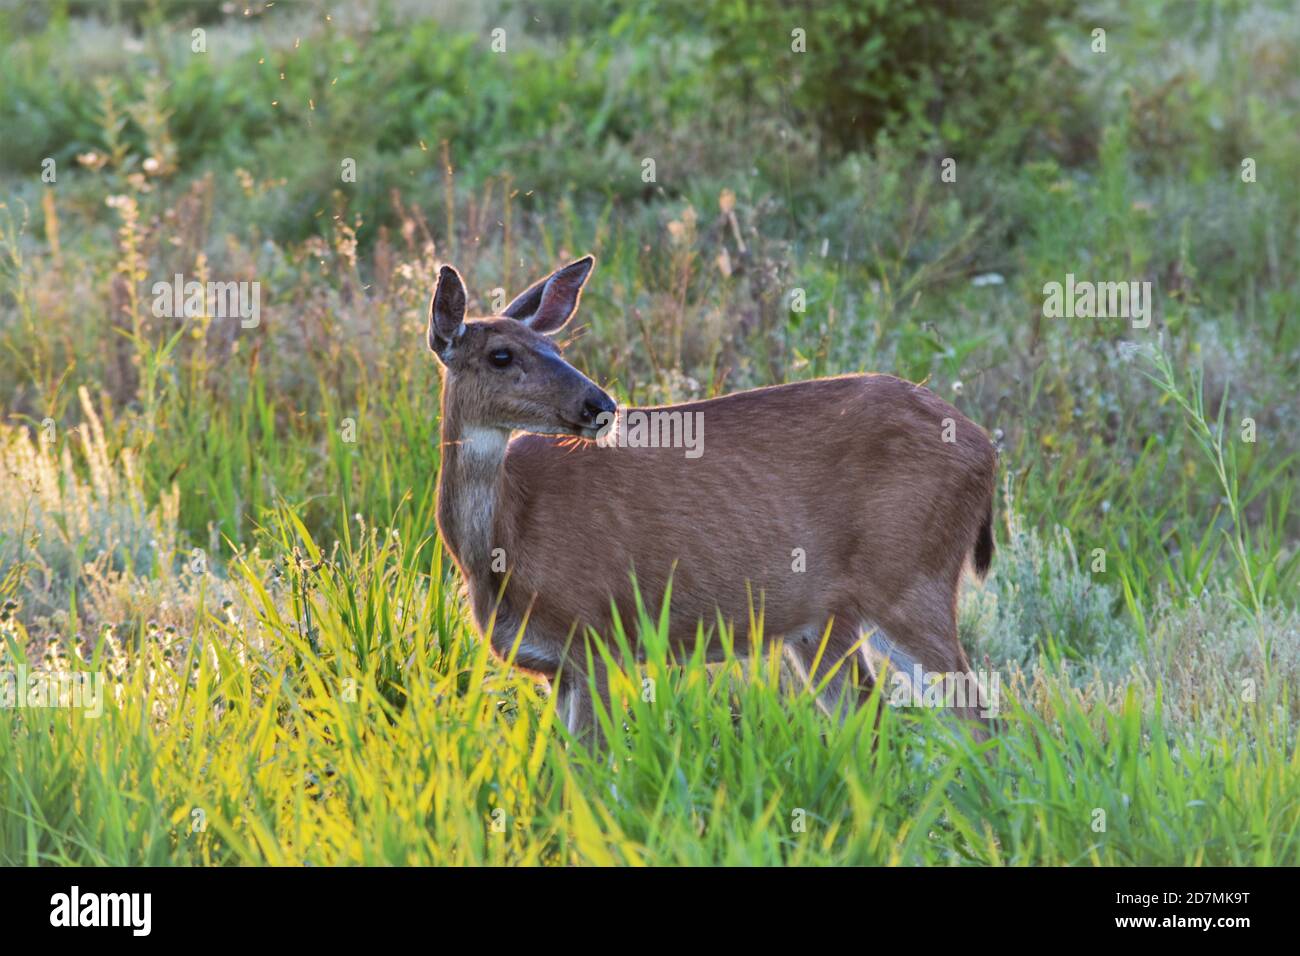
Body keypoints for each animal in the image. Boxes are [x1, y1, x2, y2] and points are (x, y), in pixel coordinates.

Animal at [428, 255, 998, 742]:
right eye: (501, 355)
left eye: (559, 350)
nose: (600, 404)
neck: (501, 546)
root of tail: (985, 450)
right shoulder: (557, 665)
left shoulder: (596, 636)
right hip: (824, 621)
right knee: (872, 719)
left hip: (911, 577)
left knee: (979, 723)